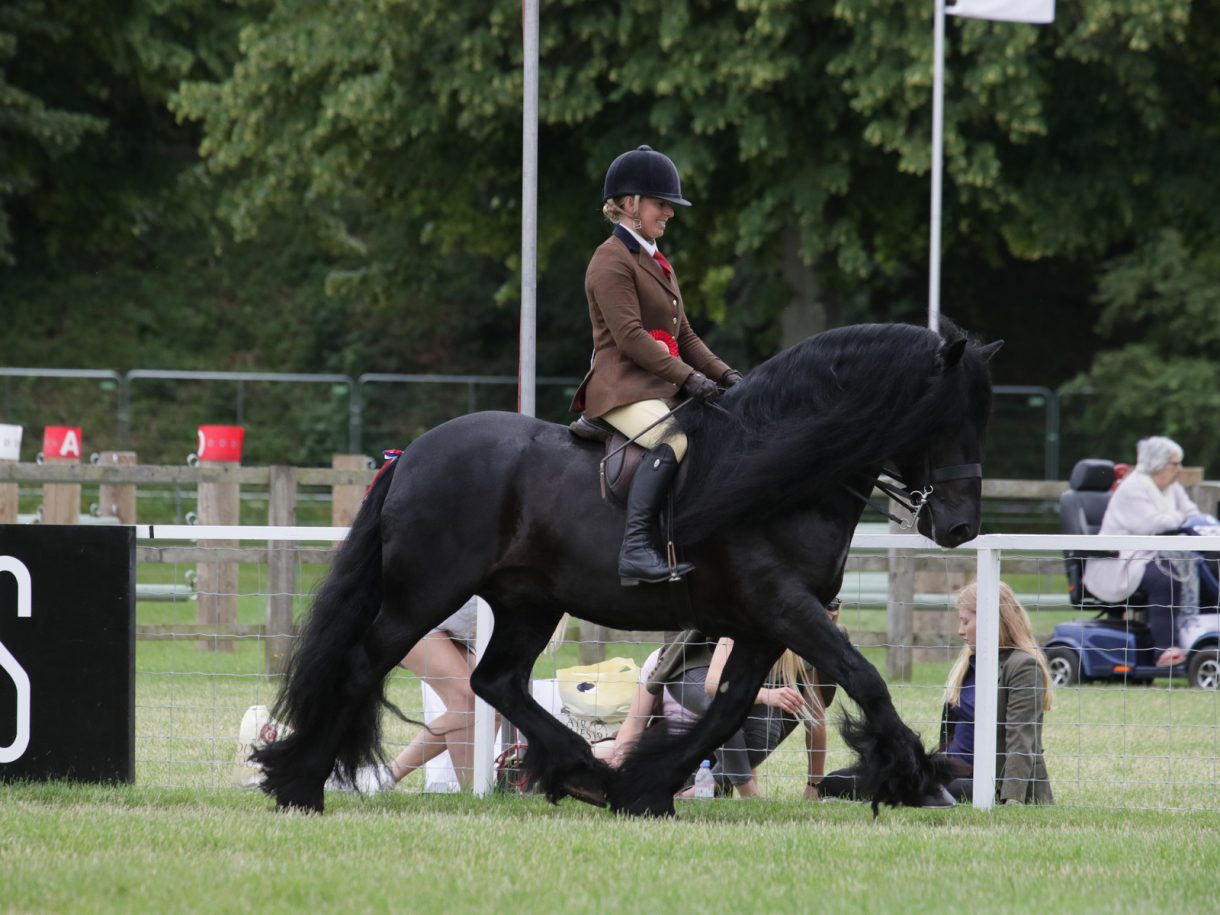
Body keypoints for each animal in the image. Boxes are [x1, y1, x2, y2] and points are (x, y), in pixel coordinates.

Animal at [254, 321, 1002, 816]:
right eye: (942, 419)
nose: (960, 528)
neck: (783, 473)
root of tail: (412, 454)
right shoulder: (784, 604)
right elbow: (862, 676)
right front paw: (916, 776)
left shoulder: (762, 622)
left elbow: (726, 708)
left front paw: (643, 787)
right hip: (425, 594)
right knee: (366, 663)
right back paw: (301, 782)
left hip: (528, 602)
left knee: (496, 680)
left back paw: (582, 770)